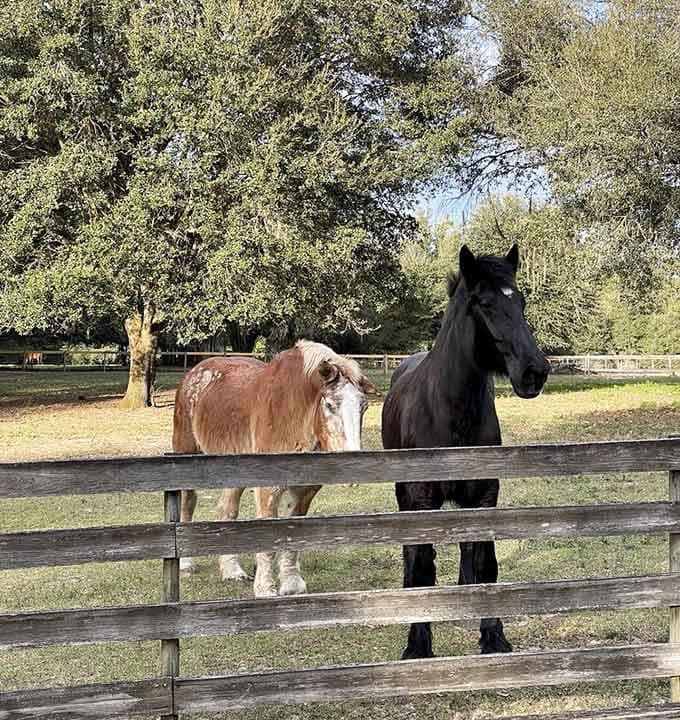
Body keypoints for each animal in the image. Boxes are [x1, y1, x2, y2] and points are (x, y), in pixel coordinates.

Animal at [172, 340, 374, 597]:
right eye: (330, 405)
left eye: (364, 407)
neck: (293, 414)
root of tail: (194, 373)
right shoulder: (268, 487)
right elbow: (268, 539)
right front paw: (266, 590)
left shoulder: (304, 491)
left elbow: (292, 536)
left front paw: (292, 584)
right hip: (186, 453)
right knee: (188, 503)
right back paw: (186, 563)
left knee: (226, 510)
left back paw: (232, 571)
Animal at [382, 243, 550, 659]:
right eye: (485, 303)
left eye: (520, 301)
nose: (534, 372)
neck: (451, 411)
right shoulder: (422, 500)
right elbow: (422, 567)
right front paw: (418, 644)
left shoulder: (485, 494)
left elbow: (485, 562)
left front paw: (493, 636)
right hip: (404, 497)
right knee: (414, 556)